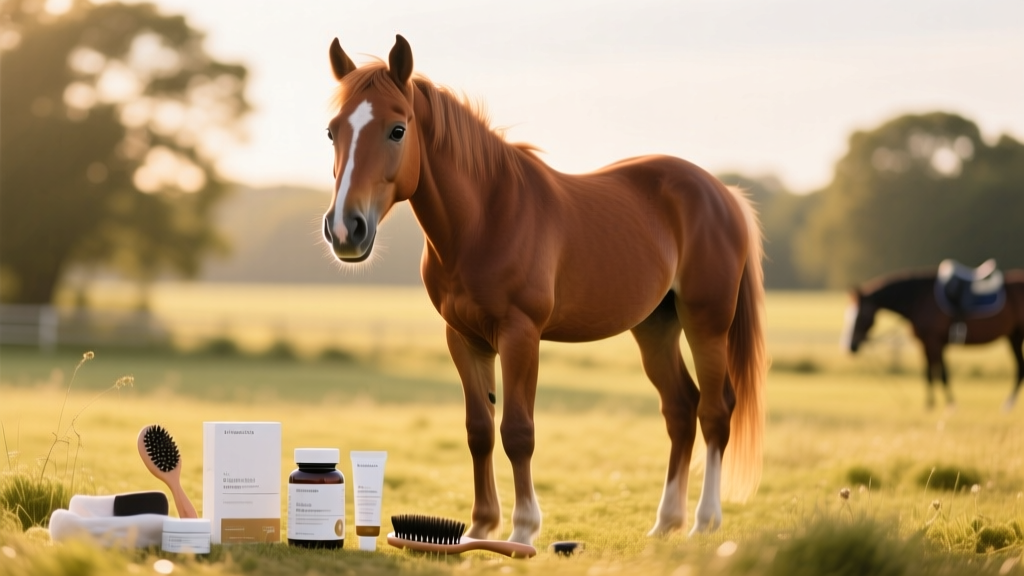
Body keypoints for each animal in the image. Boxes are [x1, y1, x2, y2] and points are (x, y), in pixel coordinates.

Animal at [320, 35, 767, 545]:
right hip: (655, 327)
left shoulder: (520, 334)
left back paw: (704, 522)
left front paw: (521, 531)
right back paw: (664, 523)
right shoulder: (463, 338)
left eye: (397, 129)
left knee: (715, 410)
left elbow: (518, 431)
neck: (485, 219)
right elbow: (479, 430)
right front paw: (480, 527)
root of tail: (722, 193)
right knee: (680, 409)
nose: (345, 229)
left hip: (706, 323)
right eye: (332, 132)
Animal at [841, 267, 1024, 411]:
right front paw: (930, 404)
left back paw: (1008, 404)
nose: (850, 346)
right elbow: (930, 373)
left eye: (861, 315)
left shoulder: (933, 341)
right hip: (1013, 336)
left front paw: (949, 405)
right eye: (848, 314)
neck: (919, 299)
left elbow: (940, 373)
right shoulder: (928, 343)